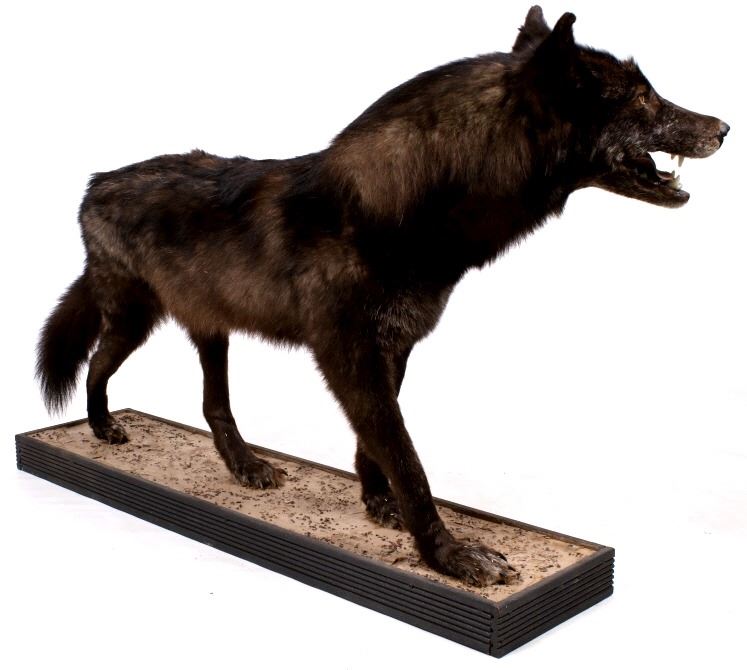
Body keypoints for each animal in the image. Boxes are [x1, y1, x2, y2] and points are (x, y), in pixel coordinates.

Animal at [36, 6, 728, 586]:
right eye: (643, 97)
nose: (722, 126)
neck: (392, 212)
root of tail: (97, 181)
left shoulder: (394, 346)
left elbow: (378, 446)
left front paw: (376, 504)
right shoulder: (350, 357)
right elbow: (408, 458)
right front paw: (450, 555)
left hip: (210, 331)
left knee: (212, 404)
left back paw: (244, 466)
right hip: (134, 318)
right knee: (96, 366)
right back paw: (102, 429)